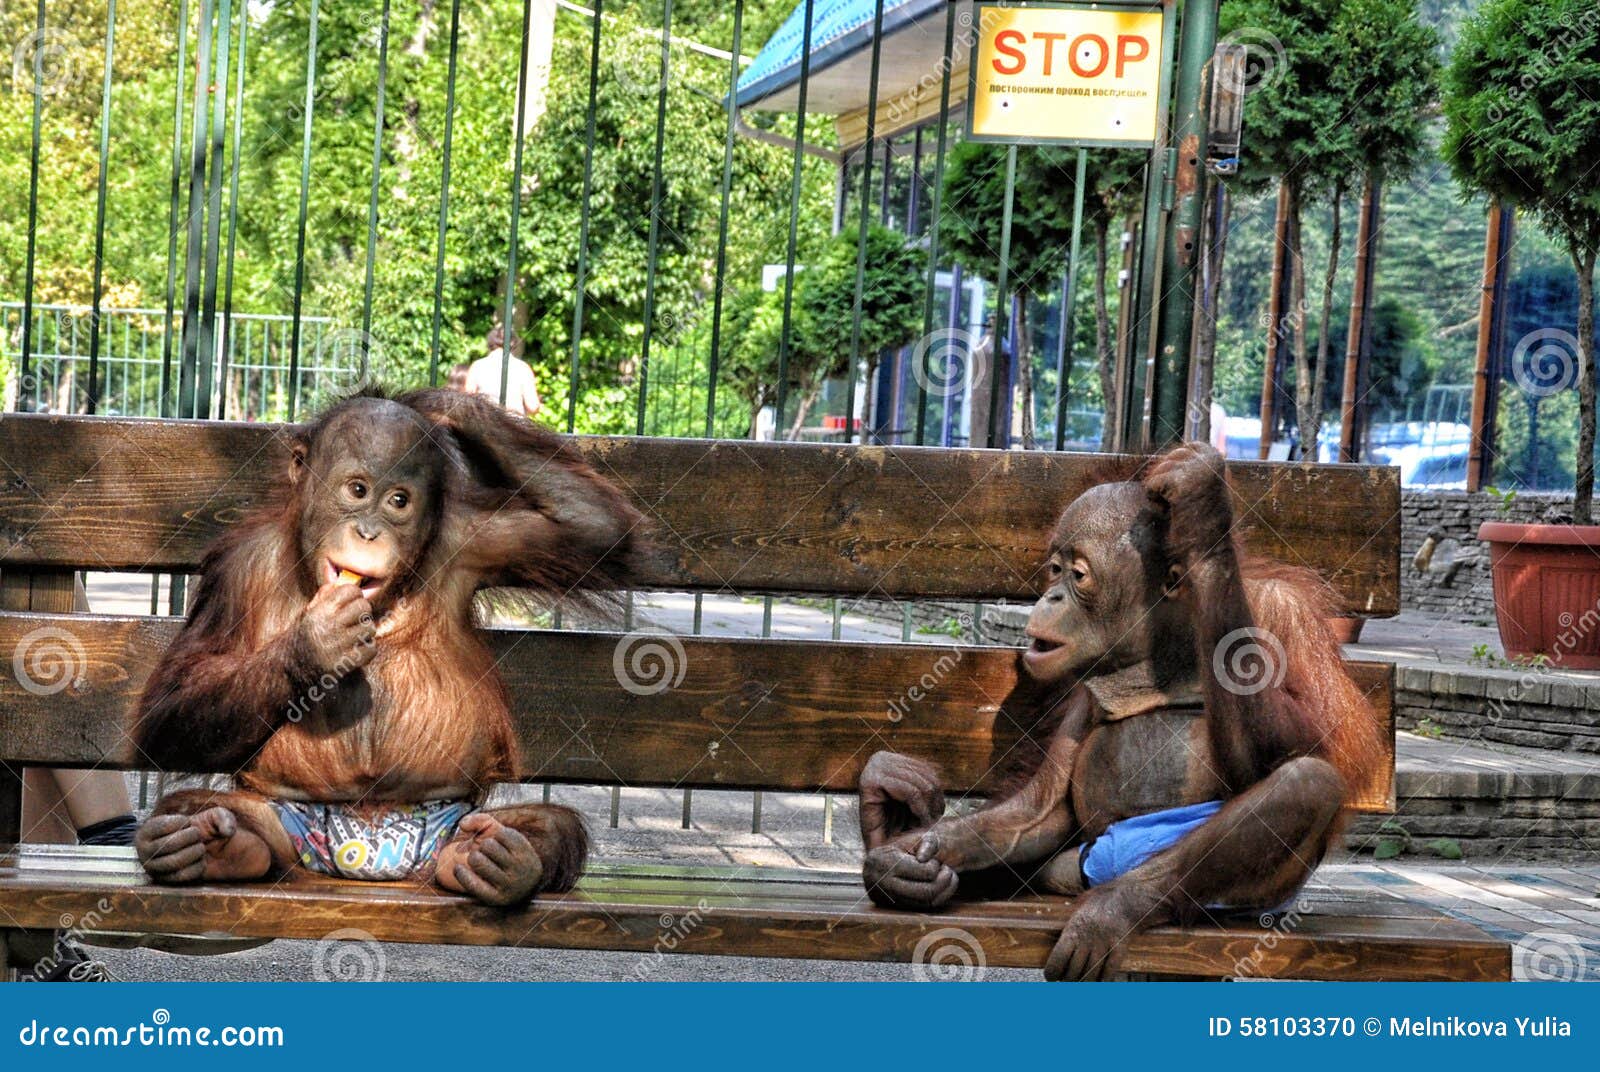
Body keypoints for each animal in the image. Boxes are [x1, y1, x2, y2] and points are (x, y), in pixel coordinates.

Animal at [130, 388, 643, 905]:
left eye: (398, 501)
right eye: (357, 491)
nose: (369, 532)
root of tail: (373, 861)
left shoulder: (481, 542)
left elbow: (597, 531)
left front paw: (444, 404)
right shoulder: (234, 568)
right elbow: (169, 708)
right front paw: (315, 644)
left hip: (448, 822)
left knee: (550, 825)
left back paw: (500, 859)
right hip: (299, 829)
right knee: (195, 809)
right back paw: (209, 845)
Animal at [857, 442, 1382, 980]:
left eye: (1078, 574)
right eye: (1054, 569)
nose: (1051, 595)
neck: (1165, 641)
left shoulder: (1284, 613)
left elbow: (1303, 750)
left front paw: (1203, 513)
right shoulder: (1082, 689)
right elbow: (1043, 807)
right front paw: (903, 861)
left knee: (1308, 783)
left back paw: (1116, 906)